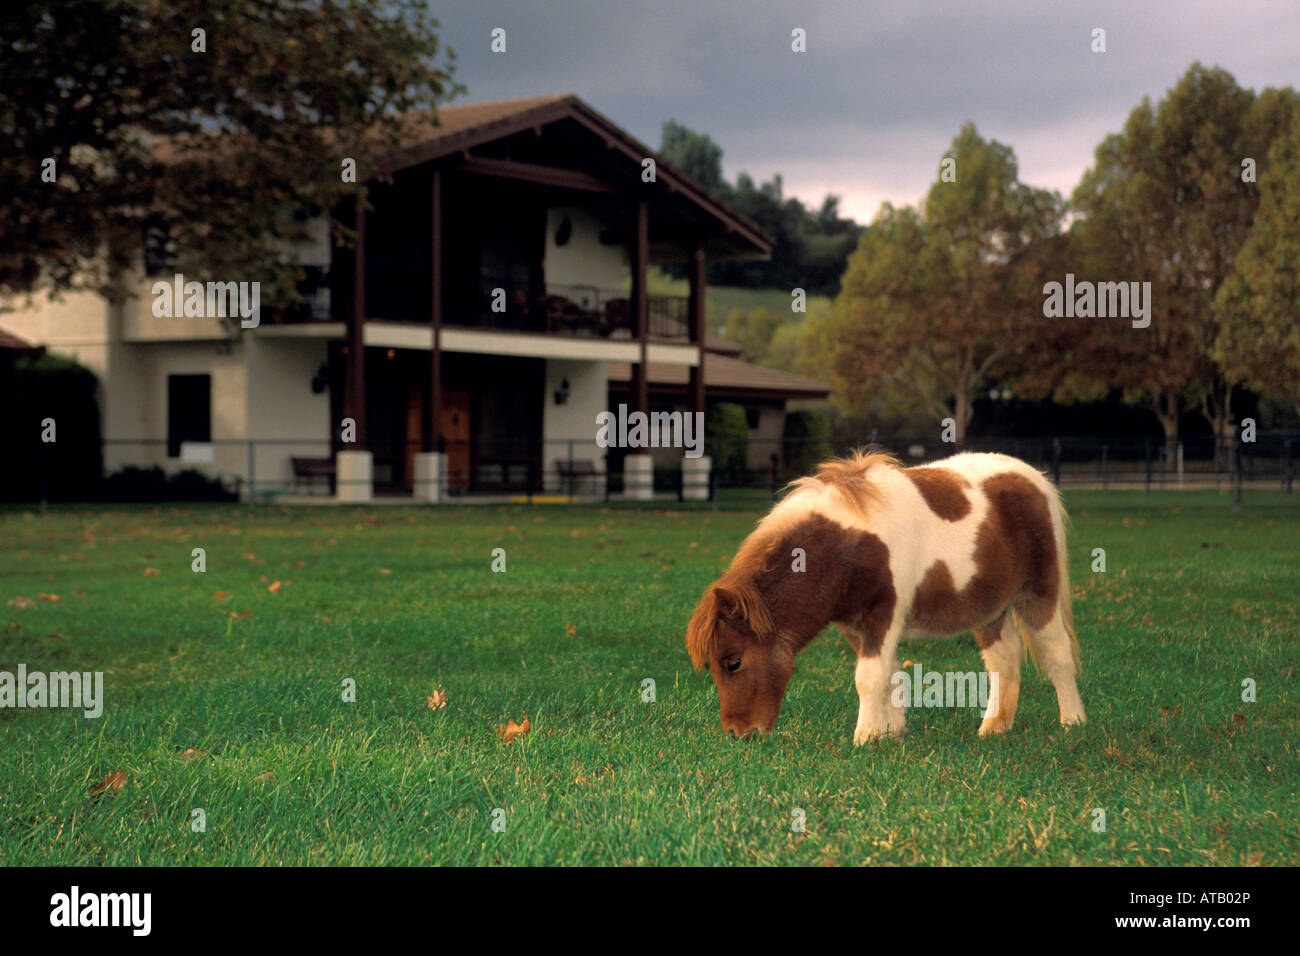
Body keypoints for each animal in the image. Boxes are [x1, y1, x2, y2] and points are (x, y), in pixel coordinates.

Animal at [686, 450, 1086, 742]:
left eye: (733, 662)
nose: (738, 733)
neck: (848, 545)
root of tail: (1036, 479)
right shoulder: (855, 626)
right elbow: (889, 675)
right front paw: (890, 733)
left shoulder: (883, 616)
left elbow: (868, 677)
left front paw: (864, 737)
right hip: (990, 610)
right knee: (1004, 660)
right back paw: (994, 727)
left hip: (1039, 595)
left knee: (1057, 655)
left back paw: (1073, 723)